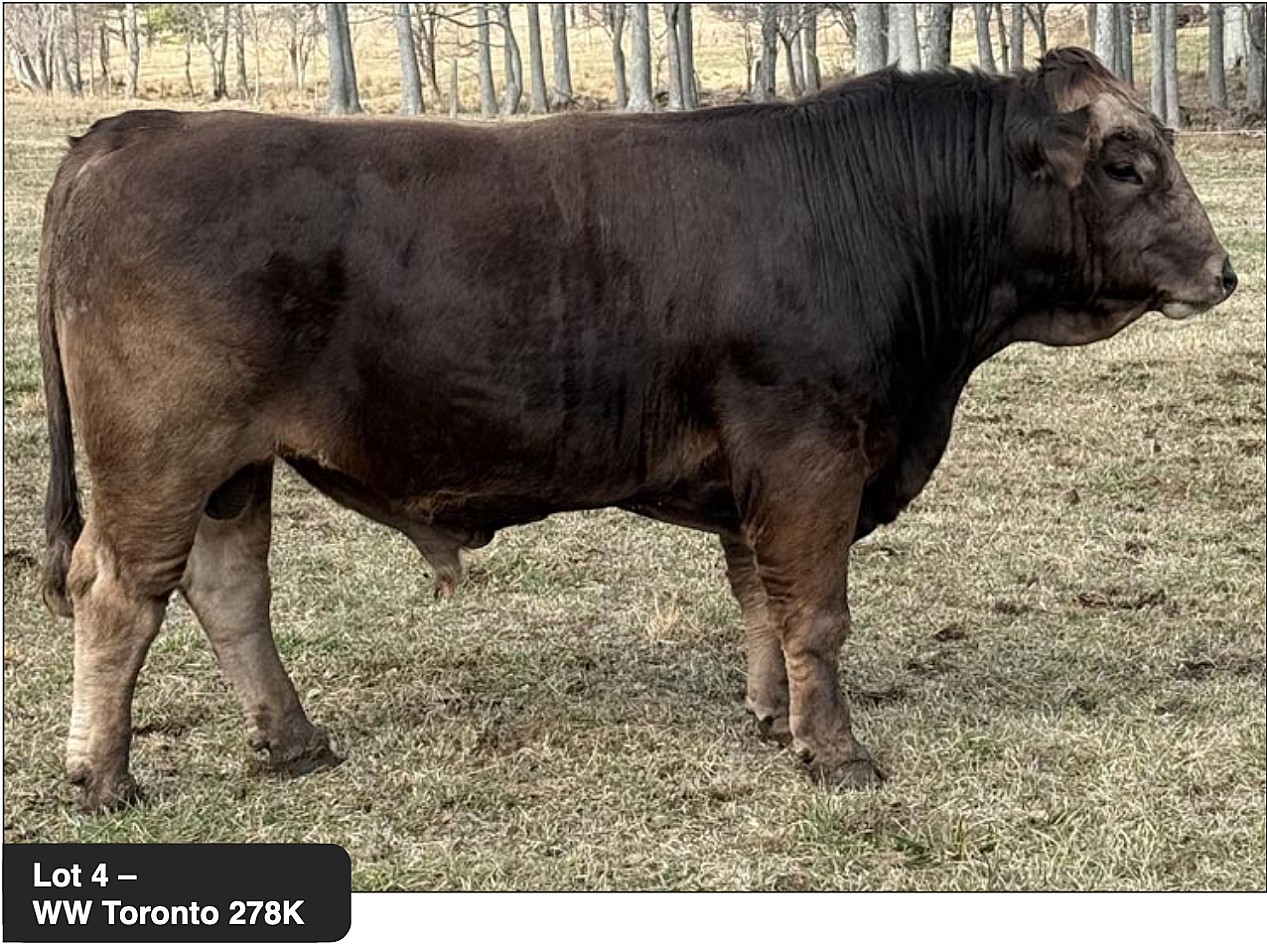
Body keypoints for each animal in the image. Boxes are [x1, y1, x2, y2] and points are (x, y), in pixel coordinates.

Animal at [37, 48, 1235, 812]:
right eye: (1125, 162)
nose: (1222, 272)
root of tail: (127, 131)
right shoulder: (810, 451)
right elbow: (817, 613)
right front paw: (836, 754)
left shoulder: (756, 473)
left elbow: (760, 599)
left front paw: (771, 718)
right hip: (160, 455)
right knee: (119, 593)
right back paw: (103, 778)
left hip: (235, 467)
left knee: (227, 590)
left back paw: (292, 742)